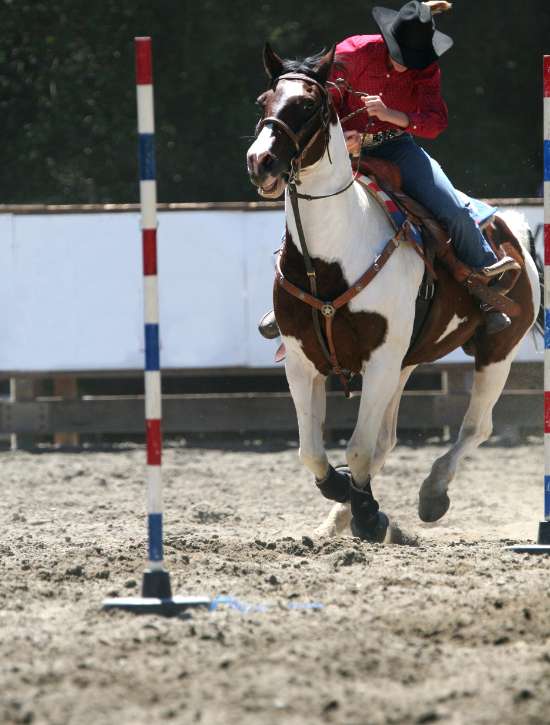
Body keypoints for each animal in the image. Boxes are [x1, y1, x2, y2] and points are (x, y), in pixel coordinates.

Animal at [246, 44, 542, 541]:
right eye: (263, 101)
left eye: (308, 105)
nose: (261, 161)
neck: (330, 257)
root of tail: (513, 225)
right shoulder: (304, 361)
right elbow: (313, 451)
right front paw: (349, 500)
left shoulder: (380, 359)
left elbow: (358, 448)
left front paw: (368, 515)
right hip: (408, 361)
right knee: (387, 441)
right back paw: (339, 518)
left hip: (497, 348)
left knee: (476, 427)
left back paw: (432, 494)